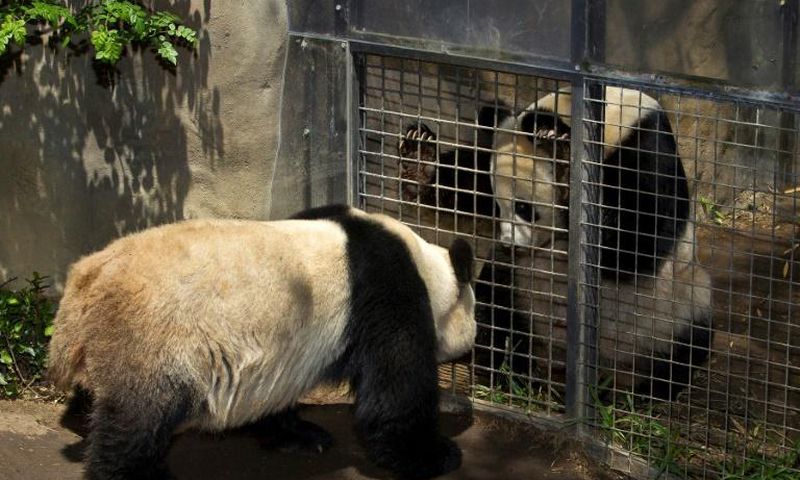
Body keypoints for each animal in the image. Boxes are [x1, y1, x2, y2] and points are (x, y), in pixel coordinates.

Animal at [47, 204, 477, 480]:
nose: (473, 344)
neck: (424, 263)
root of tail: (86, 281)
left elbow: (272, 393)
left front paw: (299, 435)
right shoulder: (384, 292)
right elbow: (394, 389)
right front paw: (435, 454)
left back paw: (80, 414)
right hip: (153, 337)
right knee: (137, 420)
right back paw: (137, 473)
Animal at [397, 87, 713, 400]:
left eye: (524, 208)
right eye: (498, 207)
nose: (510, 243)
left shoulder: (646, 149)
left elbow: (639, 240)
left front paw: (562, 163)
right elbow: (468, 183)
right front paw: (419, 160)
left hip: (675, 307)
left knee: (690, 341)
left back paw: (646, 393)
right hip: (522, 290)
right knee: (495, 299)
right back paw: (509, 370)